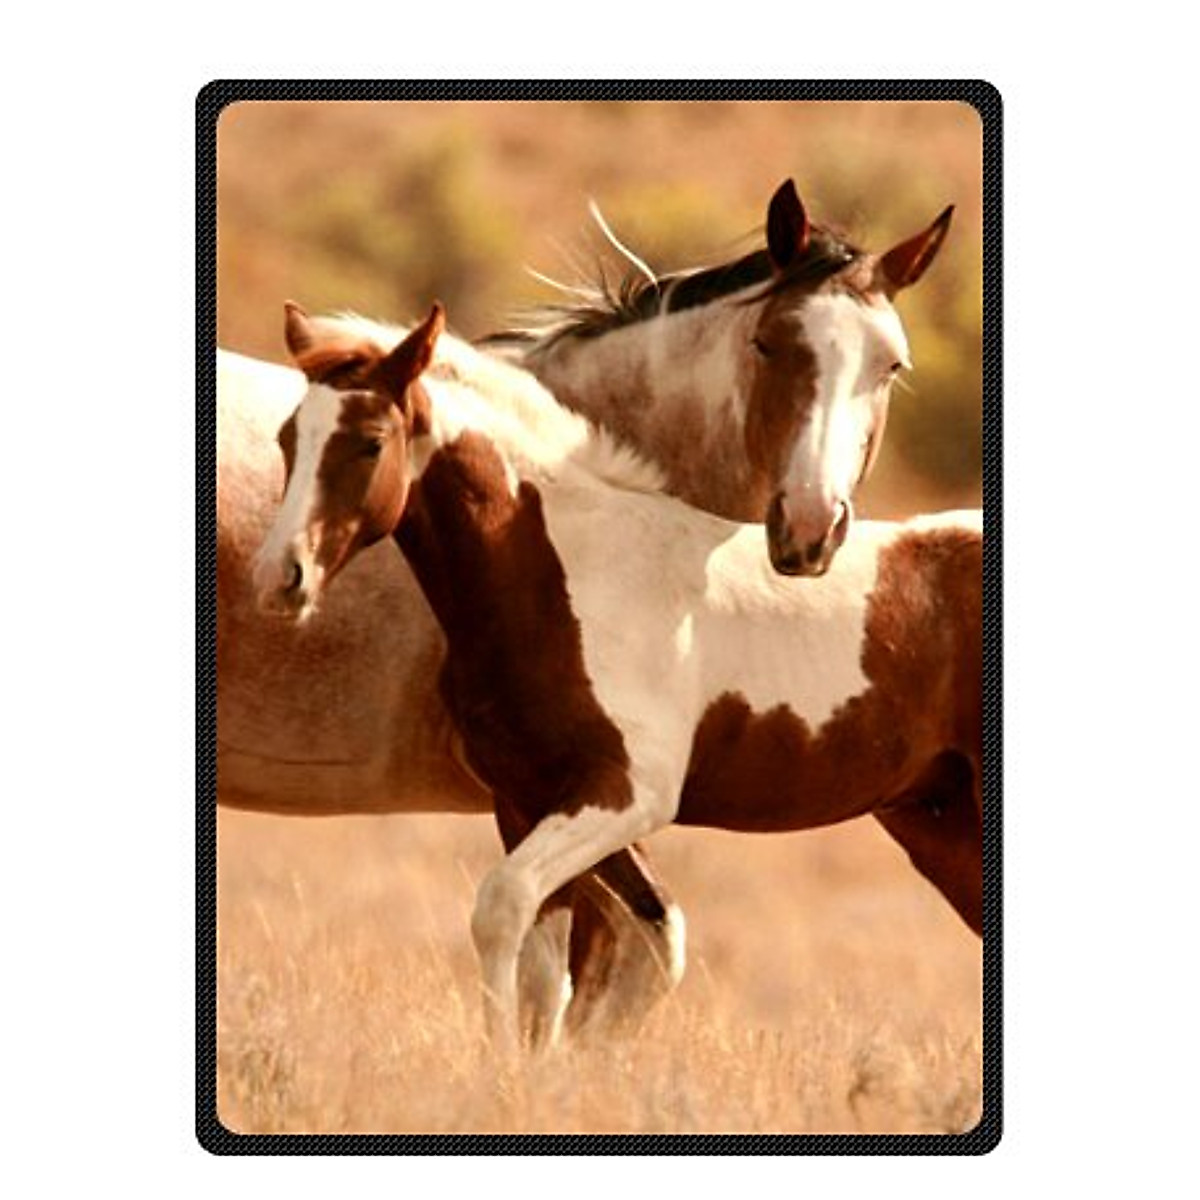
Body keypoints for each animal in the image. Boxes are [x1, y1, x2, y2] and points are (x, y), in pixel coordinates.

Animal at [253, 303, 982, 1046]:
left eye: (370, 443)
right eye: (289, 438)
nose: (281, 577)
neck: (567, 573)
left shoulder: (628, 794)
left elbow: (502, 906)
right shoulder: (526, 799)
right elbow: (548, 965)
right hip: (941, 823)